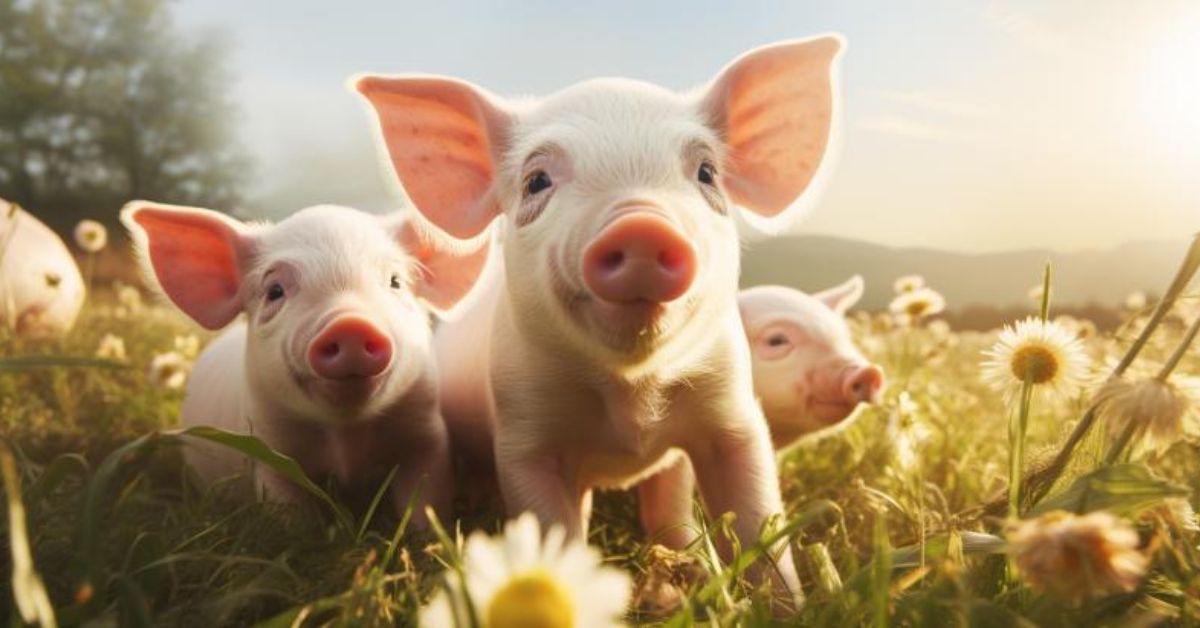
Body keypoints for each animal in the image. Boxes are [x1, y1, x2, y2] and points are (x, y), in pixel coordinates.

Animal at [120, 202, 489, 525]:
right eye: (275, 291)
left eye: (395, 281)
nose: (350, 323)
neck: (347, 435)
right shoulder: (272, 450)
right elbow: (293, 515)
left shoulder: (427, 437)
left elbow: (425, 500)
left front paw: (422, 538)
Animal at [356, 36, 843, 605]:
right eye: (537, 181)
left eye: (706, 173)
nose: (641, 225)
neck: (631, 394)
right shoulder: (524, 431)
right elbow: (547, 520)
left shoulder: (730, 408)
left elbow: (755, 517)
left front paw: (784, 605)